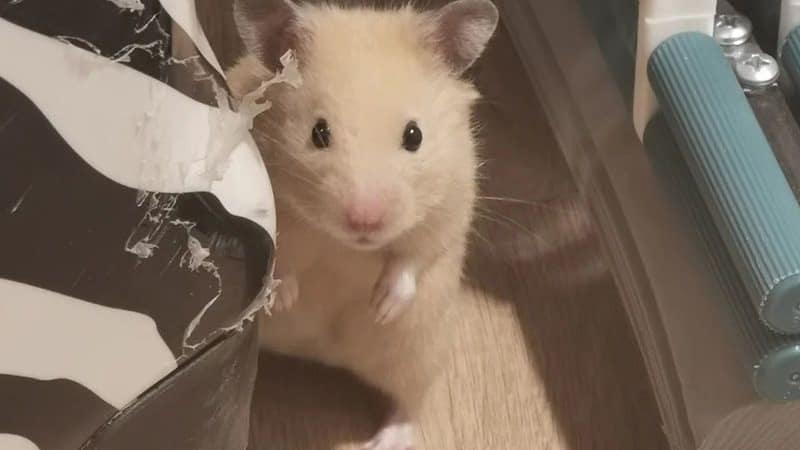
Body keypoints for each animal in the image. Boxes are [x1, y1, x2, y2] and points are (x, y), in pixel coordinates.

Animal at [227, 0, 497, 448]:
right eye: (319, 132)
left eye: (414, 135)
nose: (364, 221)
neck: (344, 245)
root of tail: (323, 354)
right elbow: (279, 255)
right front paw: (286, 298)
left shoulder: (451, 208)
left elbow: (413, 257)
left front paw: (381, 307)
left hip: (419, 351)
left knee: (410, 403)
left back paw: (383, 441)